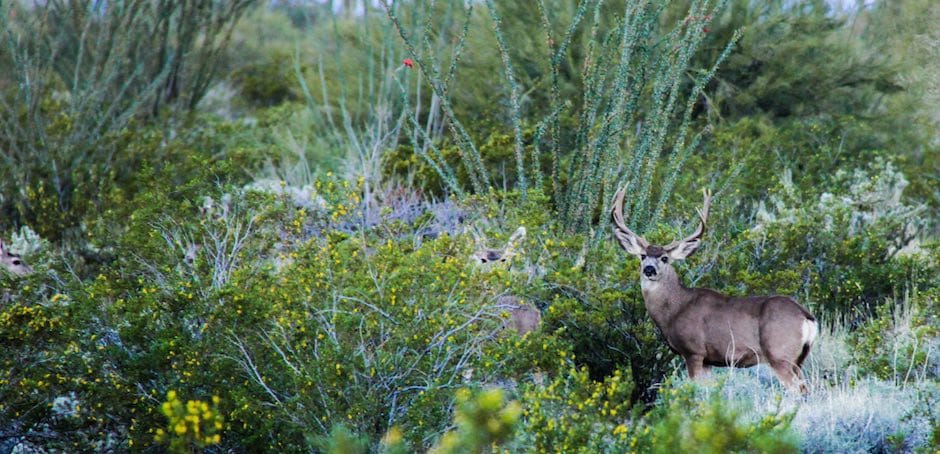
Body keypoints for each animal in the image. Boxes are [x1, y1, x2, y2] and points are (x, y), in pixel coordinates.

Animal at [610, 188, 818, 393]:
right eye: (642, 256)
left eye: (664, 258)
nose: (649, 270)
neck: (675, 310)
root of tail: (806, 316)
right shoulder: (709, 360)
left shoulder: (693, 351)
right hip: (799, 359)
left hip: (779, 354)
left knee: (797, 390)